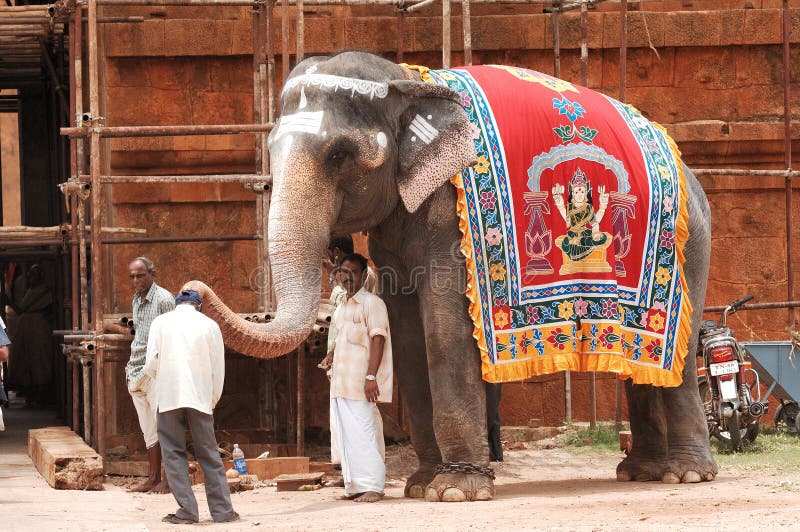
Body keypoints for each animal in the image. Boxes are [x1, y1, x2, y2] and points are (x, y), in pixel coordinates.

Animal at [186, 50, 717, 502]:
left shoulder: (449, 209)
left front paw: (455, 491)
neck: (404, 81)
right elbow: (404, 328)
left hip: (688, 245)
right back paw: (641, 472)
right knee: (642, 366)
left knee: (679, 356)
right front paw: (421, 485)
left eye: (339, 155)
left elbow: (444, 327)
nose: (192, 287)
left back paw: (687, 474)